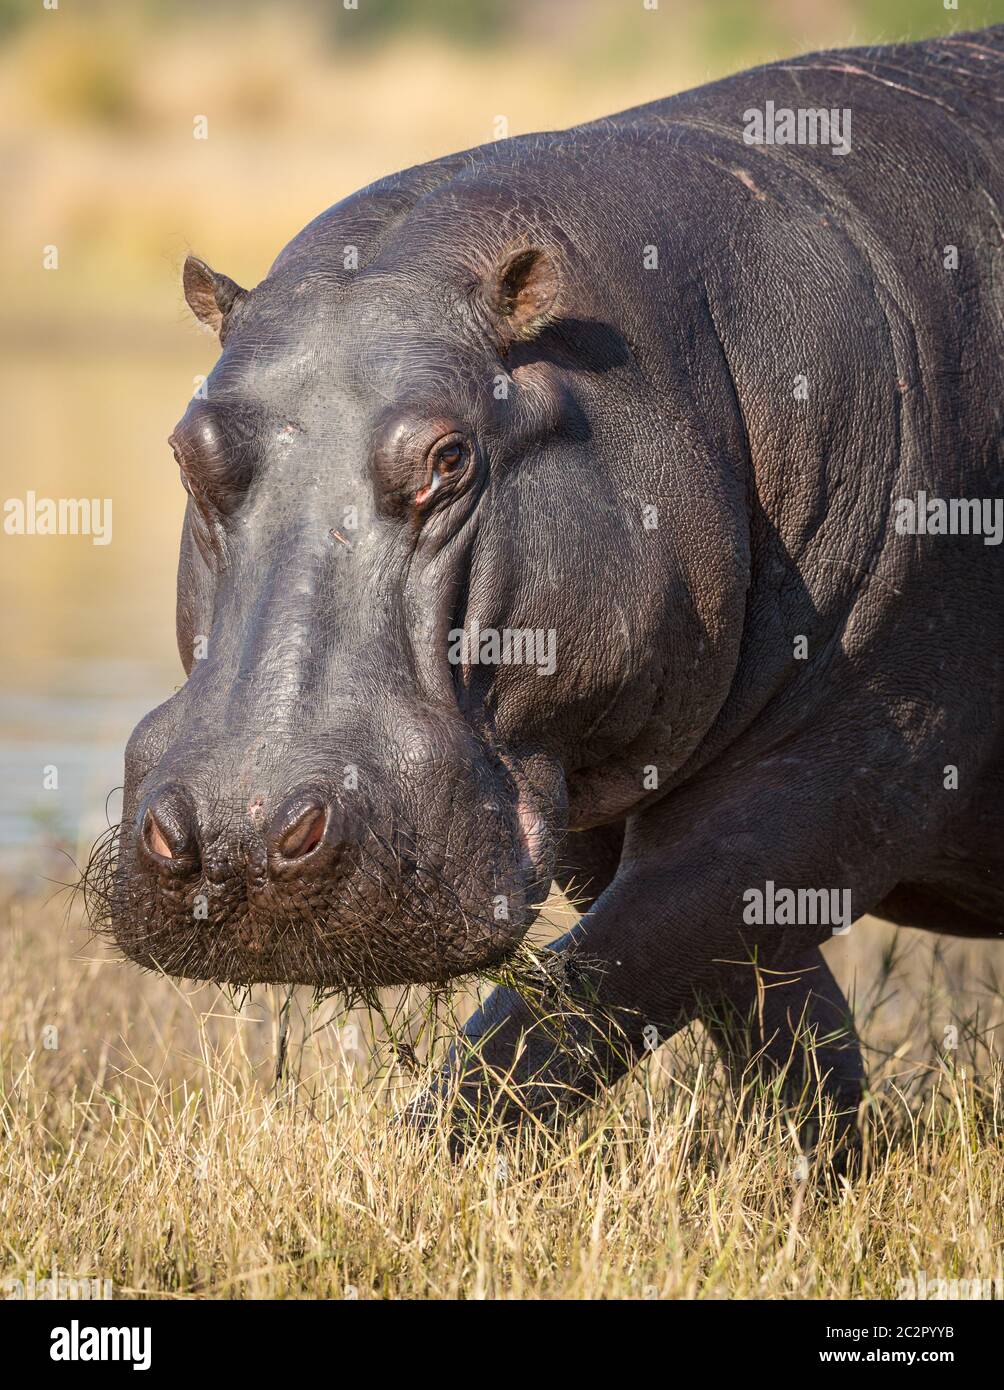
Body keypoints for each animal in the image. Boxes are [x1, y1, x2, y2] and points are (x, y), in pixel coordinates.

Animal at [102, 25, 1004, 1145]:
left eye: (450, 458)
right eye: (186, 449)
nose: (239, 836)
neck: (669, 363)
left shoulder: (853, 773)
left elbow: (572, 1004)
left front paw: (424, 1161)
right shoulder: (590, 793)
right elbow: (772, 1021)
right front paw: (826, 1164)